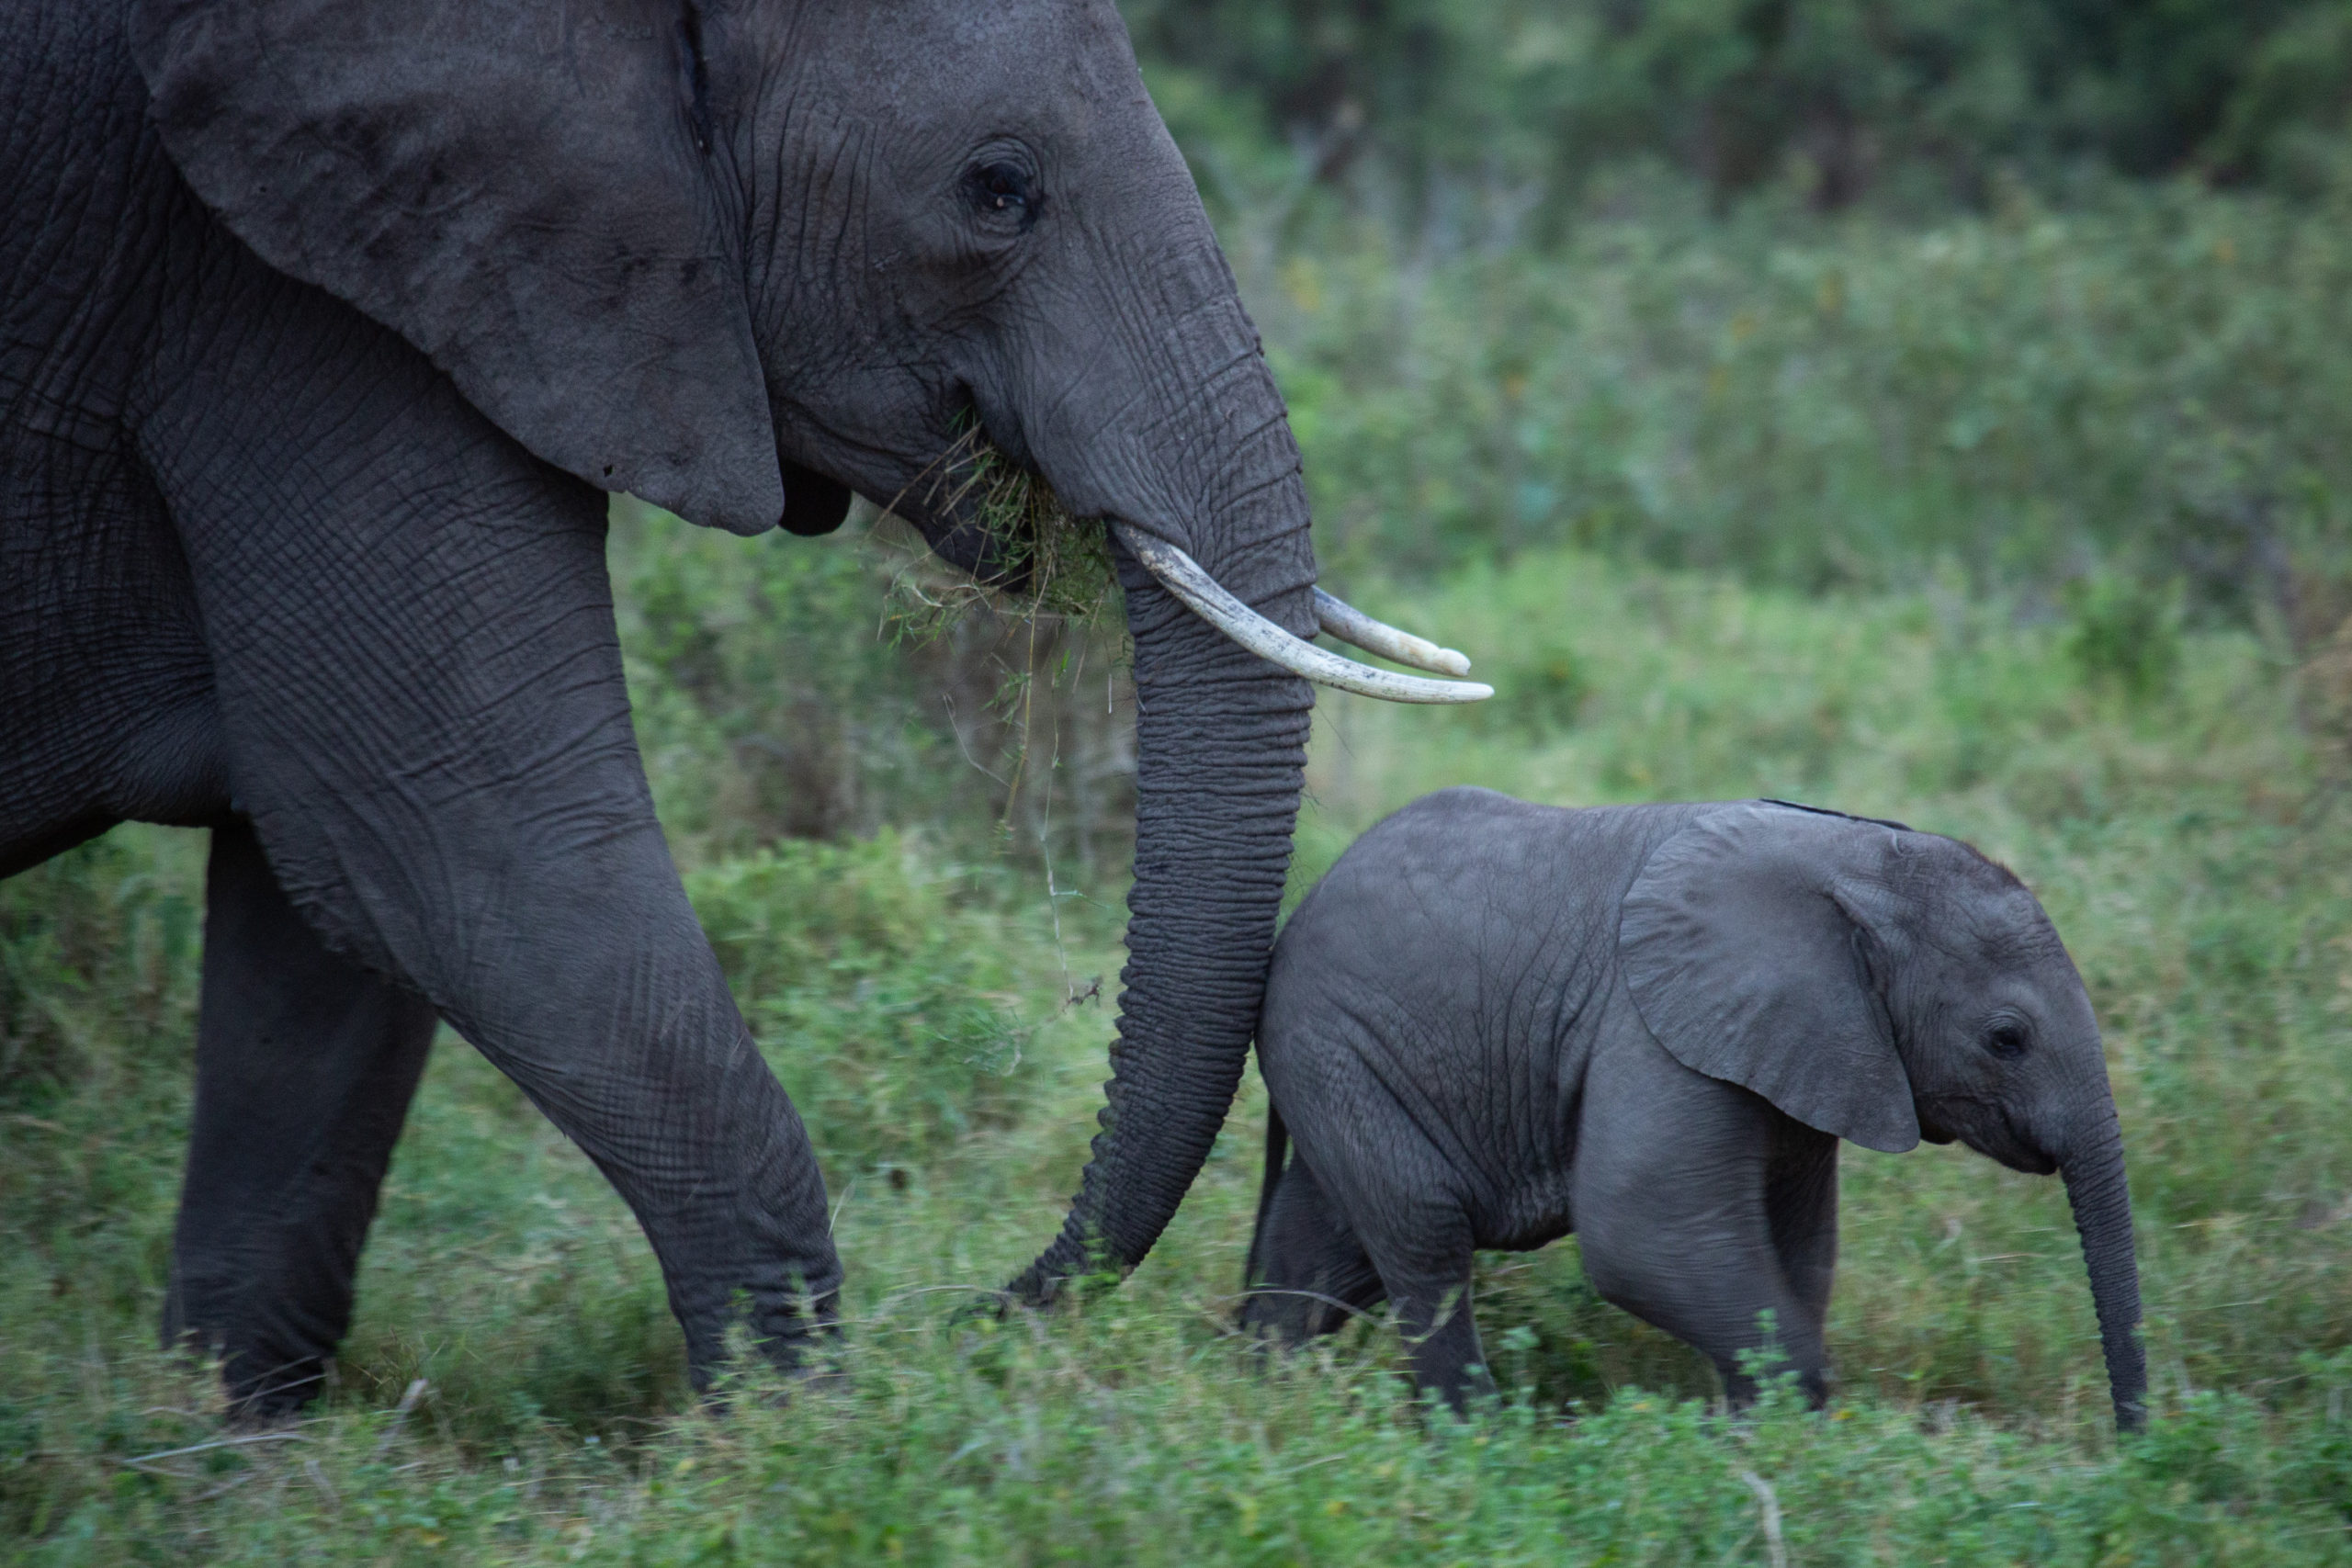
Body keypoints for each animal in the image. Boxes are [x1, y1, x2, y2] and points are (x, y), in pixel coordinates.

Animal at [0, 0, 1489, 1416]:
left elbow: (327, 927)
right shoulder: (276, 308)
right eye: (998, 190)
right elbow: (468, 857)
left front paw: (229, 1448)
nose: (976, 1313)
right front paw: (802, 1440)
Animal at [1241, 790, 2147, 1431]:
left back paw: (1263, 1393)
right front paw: (1769, 1434)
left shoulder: (1812, 1056)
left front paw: (1755, 1442)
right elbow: (1642, 1236)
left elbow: (1800, 1251)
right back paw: (1477, 1444)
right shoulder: (1654, 1029)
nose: (2132, 1445)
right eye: (2007, 1038)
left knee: (1329, 1248)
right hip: (1336, 1044)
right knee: (1425, 1232)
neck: (1859, 863)